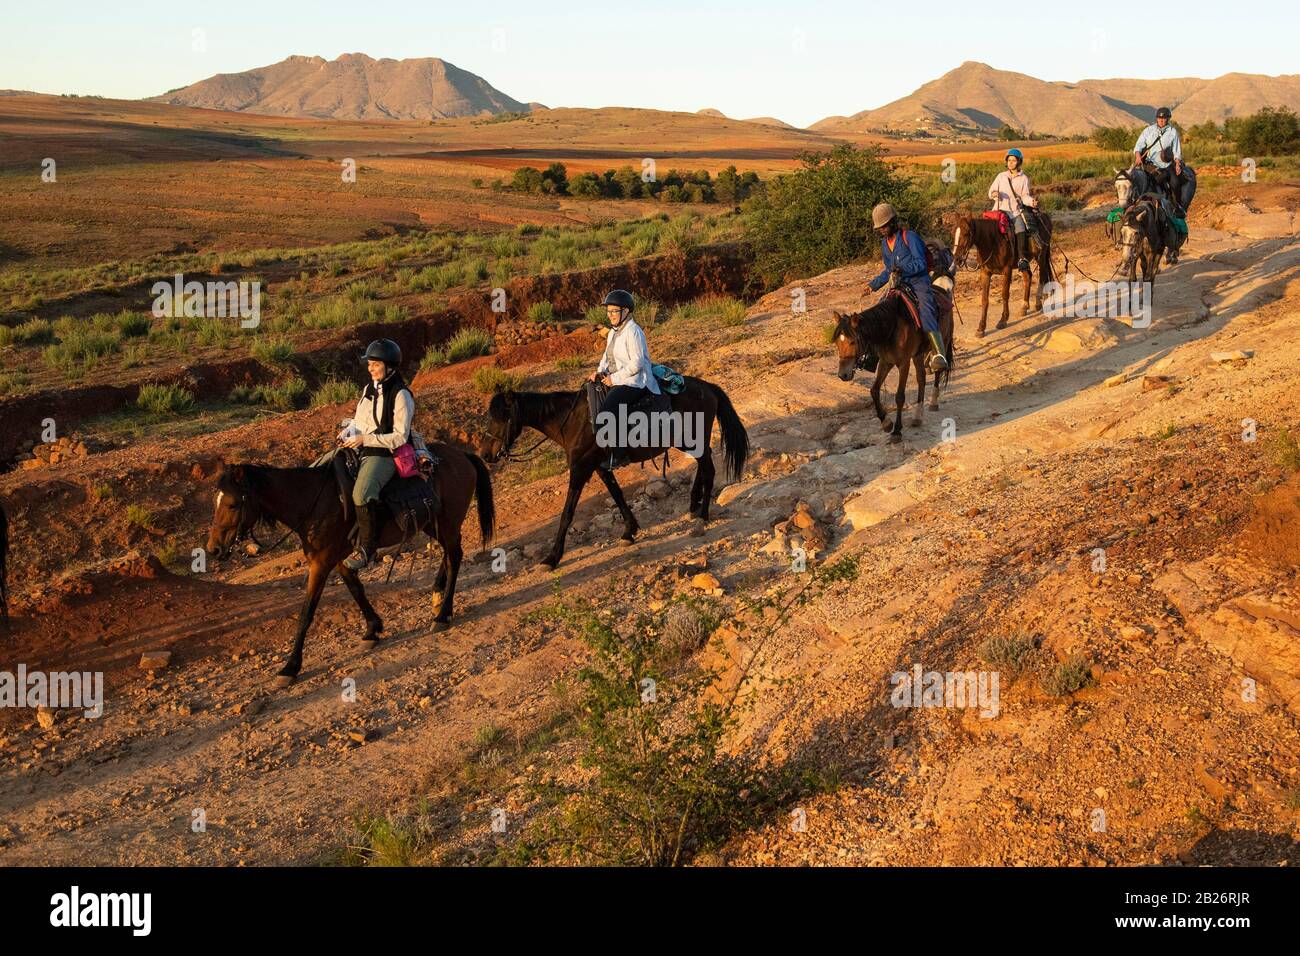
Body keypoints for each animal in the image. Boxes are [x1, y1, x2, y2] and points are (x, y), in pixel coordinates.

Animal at [205, 444, 495, 686]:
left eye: (232, 504)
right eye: (215, 503)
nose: (213, 549)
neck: (313, 502)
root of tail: (462, 454)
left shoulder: (321, 562)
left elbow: (306, 612)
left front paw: (290, 667)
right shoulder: (338, 558)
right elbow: (356, 590)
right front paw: (373, 629)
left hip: (446, 523)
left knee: (455, 556)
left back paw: (442, 615)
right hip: (433, 524)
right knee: (449, 554)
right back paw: (437, 597)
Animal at [481, 379, 748, 569]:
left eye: (501, 418)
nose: (485, 454)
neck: (572, 420)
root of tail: (707, 387)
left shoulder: (580, 469)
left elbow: (567, 513)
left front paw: (552, 557)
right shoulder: (600, 467)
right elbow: (618, 495)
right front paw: (630, 531)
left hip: (693, 440)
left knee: (709, 469)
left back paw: (703, 514)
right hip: (688, 442)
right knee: (704, 464)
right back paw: (693, 505)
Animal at [832, 284, 955, 442]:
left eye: (853, 342)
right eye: (837, 342)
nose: (843, 375)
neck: (892, 327)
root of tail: (942, 290)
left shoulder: (903, 363)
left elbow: (900, 396)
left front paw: (896, 431)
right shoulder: (885, 362)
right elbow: (874, 390)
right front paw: (886, 423)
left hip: (943, 342)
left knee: (938, 371)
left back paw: (933, 402)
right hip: (918, 354)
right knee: (921, 378)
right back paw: (917, 416)